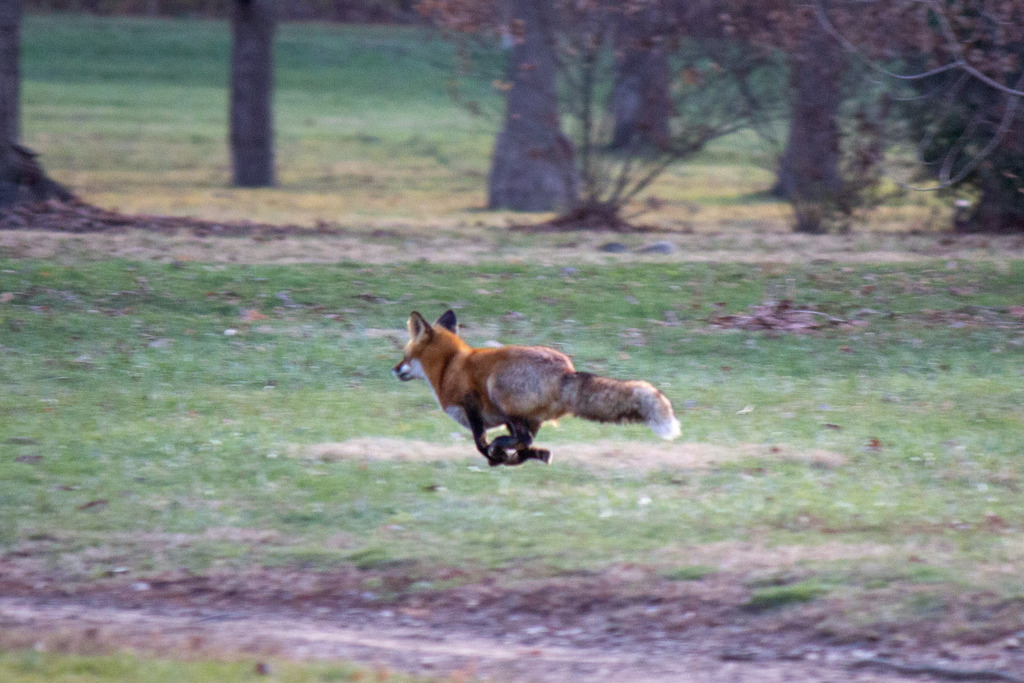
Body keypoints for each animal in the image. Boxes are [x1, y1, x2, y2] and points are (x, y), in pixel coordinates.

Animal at [392, 310, 680, 466]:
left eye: (405, 355)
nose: (394, 369)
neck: (450, 366)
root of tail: (566, 372)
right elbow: (514, 446)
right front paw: (521, 456)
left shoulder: (472, 403)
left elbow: (480, 442)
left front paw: (497, 454)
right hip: (525, 416)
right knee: (525, 440)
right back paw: (530, 455)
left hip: (498, 391)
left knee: (523, 439)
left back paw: (507, 450)